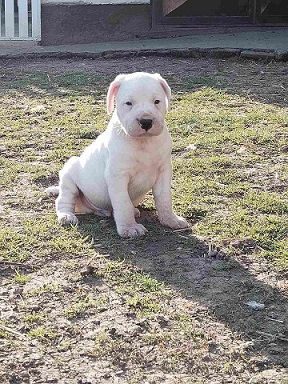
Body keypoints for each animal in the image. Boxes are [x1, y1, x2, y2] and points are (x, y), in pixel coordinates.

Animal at [46, 72, 188, 237]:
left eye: (157, 101)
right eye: (128, 103)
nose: (146, 121)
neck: (144, 142)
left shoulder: (164, 172)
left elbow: (164, 198)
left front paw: (171, 220)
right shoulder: (118, 177)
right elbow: (123, 202)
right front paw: (129, 228)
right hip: (69, 177)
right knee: (64, 200)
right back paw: (67, 216)